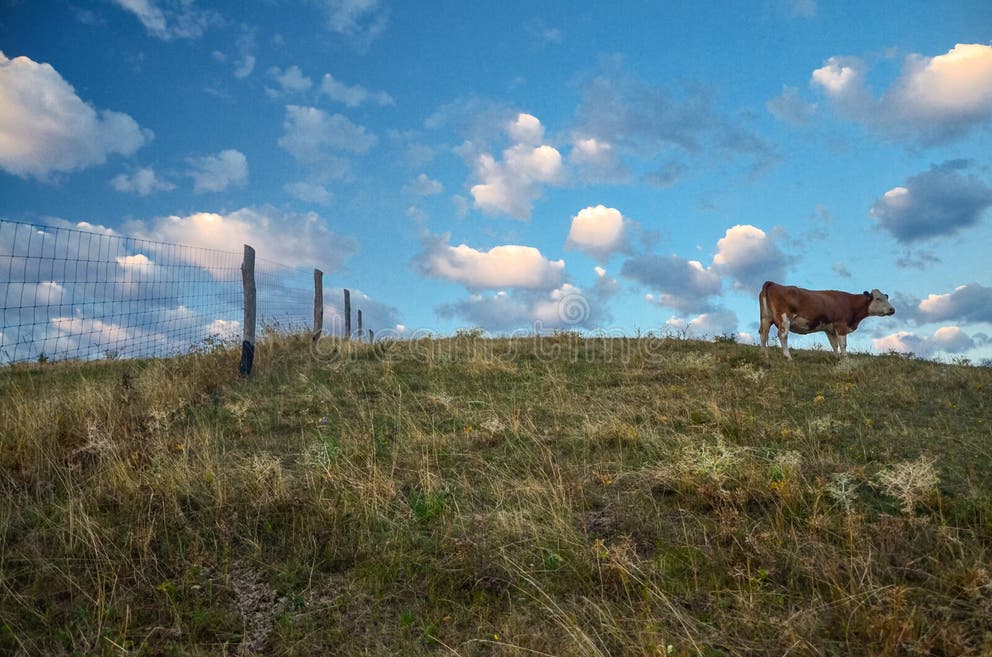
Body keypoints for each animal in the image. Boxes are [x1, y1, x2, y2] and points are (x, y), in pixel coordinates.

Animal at [759, 281, 895, 360]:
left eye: (886, 297)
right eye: (878, 299)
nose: (892, 309)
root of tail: (773, 284)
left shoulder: (829, 329)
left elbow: (834, 345)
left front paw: (838, 359)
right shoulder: (841, 325)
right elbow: (843, 344)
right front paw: (846, 359)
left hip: (766, 318)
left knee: (763, 334)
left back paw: (765, 356)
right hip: (784, 318)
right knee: (782, 335)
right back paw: (788, 357)